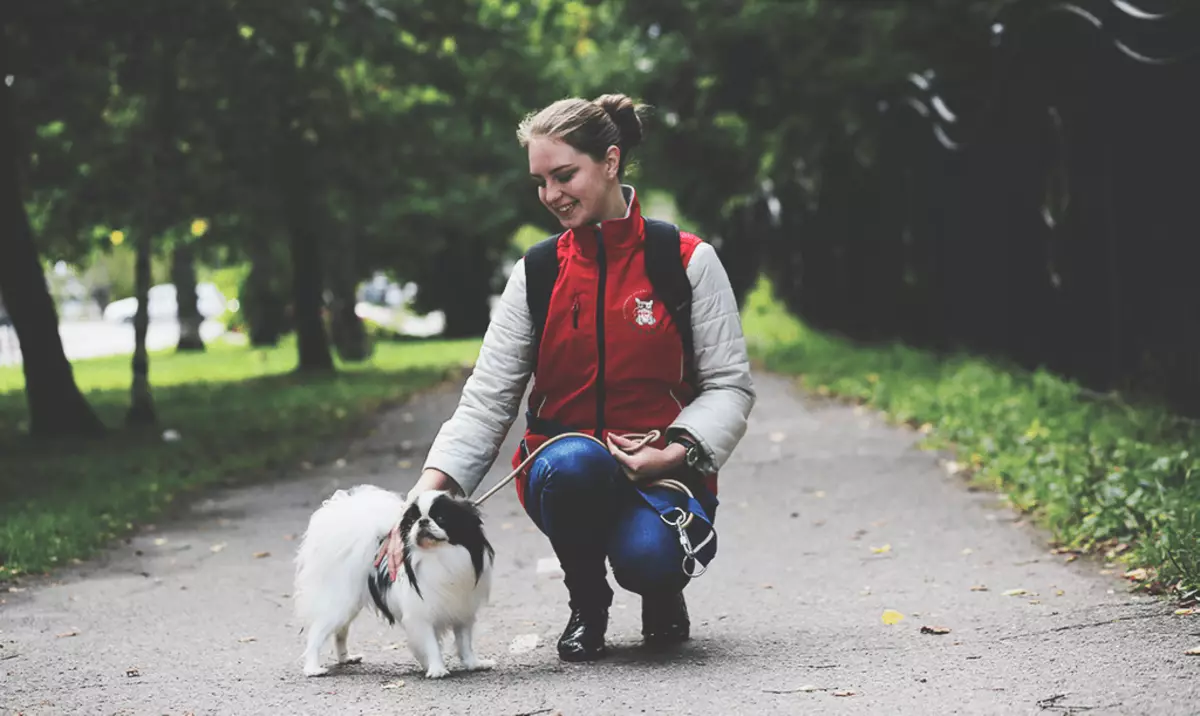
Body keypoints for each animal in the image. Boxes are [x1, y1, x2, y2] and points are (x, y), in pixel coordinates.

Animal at [292, 486, 494, 676]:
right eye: (412, 521)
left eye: (441, 518)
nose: (423, 521)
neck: (438, 555)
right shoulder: (421, 616)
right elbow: (431, 645)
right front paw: (437, 669)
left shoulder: (462, 612)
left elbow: (465, 643)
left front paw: (474, 664)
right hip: (339, 606)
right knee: (316, 633)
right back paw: (313, 669)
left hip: (349, 606)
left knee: (340, 633)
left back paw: (346, 658)